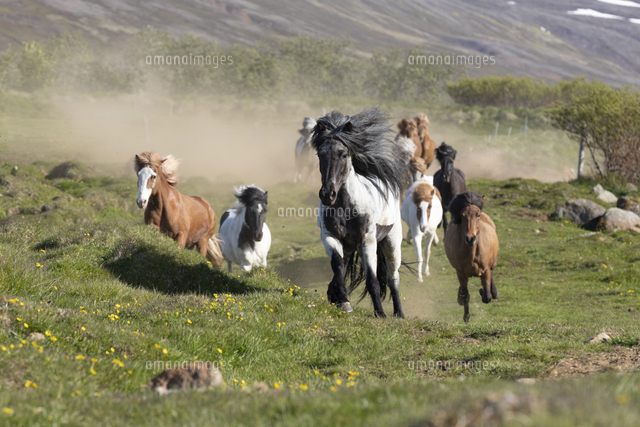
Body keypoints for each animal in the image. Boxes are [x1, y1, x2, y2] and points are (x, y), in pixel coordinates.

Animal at [313, 107, 410, 318]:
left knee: (392, 278)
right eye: (320, 154)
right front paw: (343, 302)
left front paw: (379, 313)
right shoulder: (330, 238)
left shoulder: (367, 241)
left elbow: (372, 279)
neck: (345, 207)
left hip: (391, 243)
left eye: (343, 154)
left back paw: (398, 313)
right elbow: (338, 268)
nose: (327, 195)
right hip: (350, 246)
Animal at [444, 192, 499, 322]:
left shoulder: (485, 270)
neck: (472, 253)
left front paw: (483, 291)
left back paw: (493, 292)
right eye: (462, 215)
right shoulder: (461, 273)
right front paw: (466, 315)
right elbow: (465, 295)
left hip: (493, 263)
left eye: (477, 215)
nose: (470, 238)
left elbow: (487, 297)